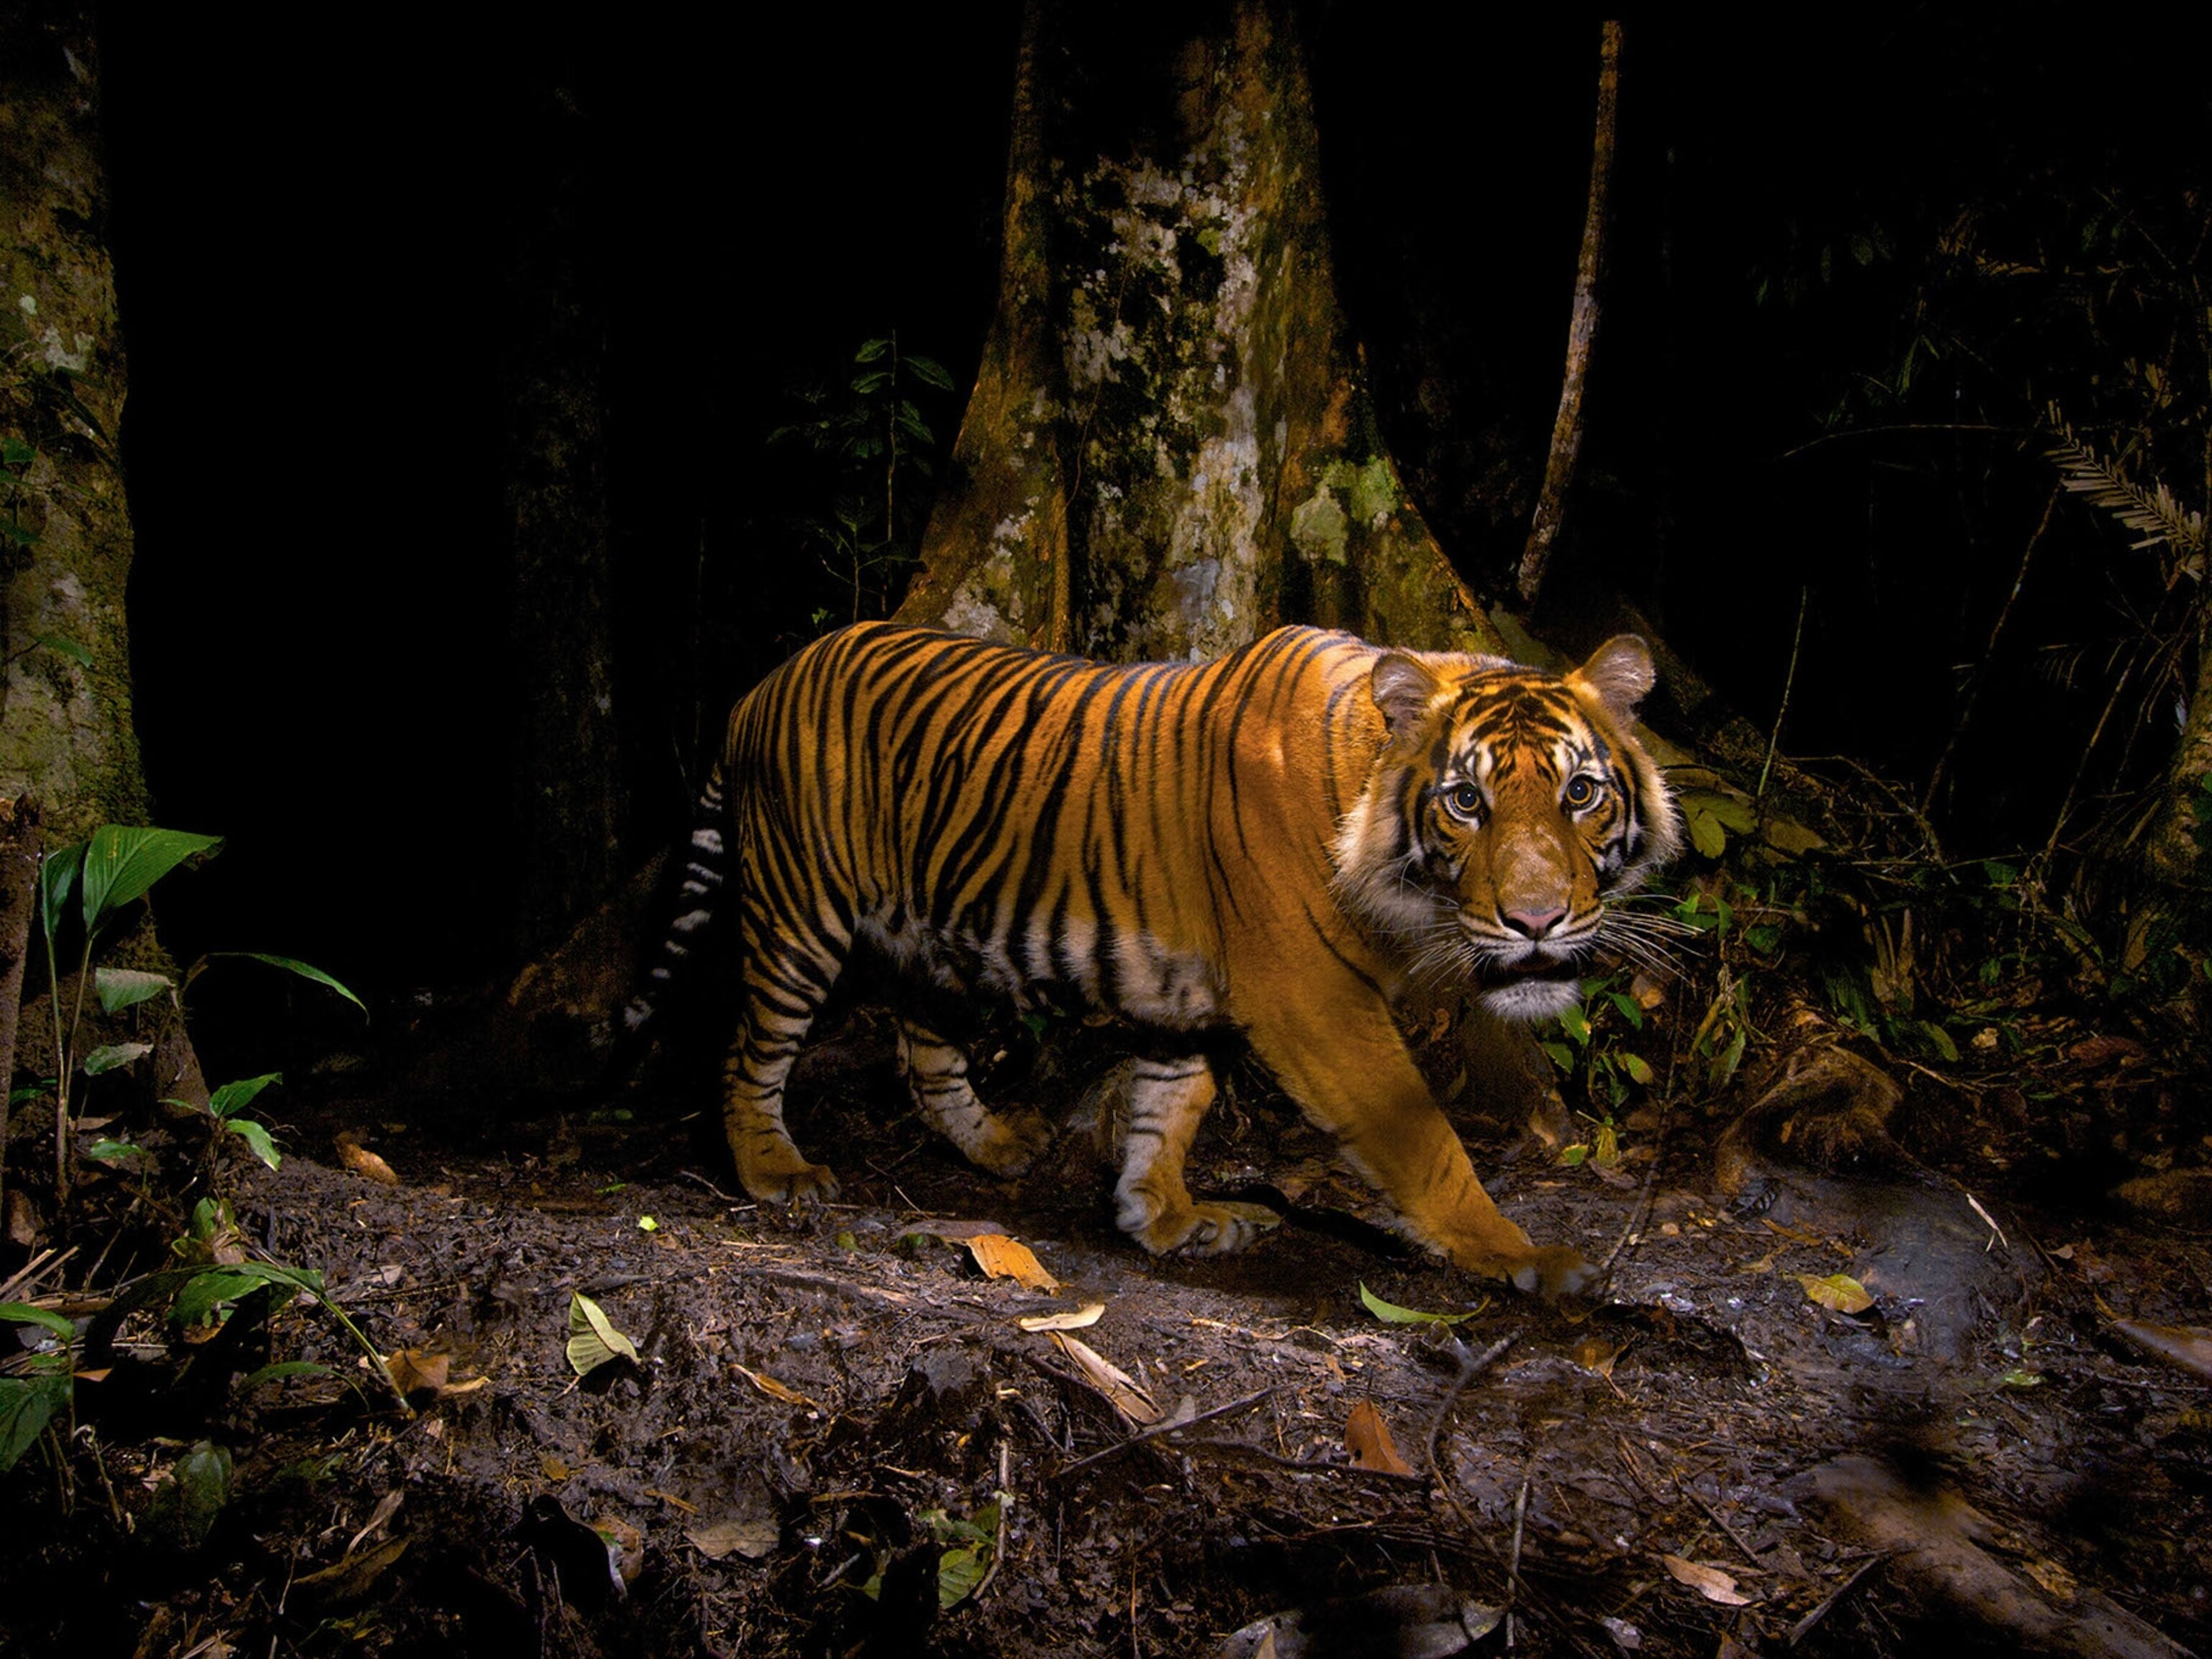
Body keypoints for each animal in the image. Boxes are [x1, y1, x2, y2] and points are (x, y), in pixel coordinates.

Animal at [627, 621, 1679, 1295]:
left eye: (1581, 793)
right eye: (1467, 803)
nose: (1538, 920)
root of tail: (763, 684)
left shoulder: (1200, 1000)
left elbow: (1166, 1113)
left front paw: (1163, 1220)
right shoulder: (1315, 1001)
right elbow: (1422, 1136)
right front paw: (1517, 1256)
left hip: (937, 936)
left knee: (924, 1054)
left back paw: (999, 1145)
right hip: (799, 914)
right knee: (749, 1047)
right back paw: (774, 1170)